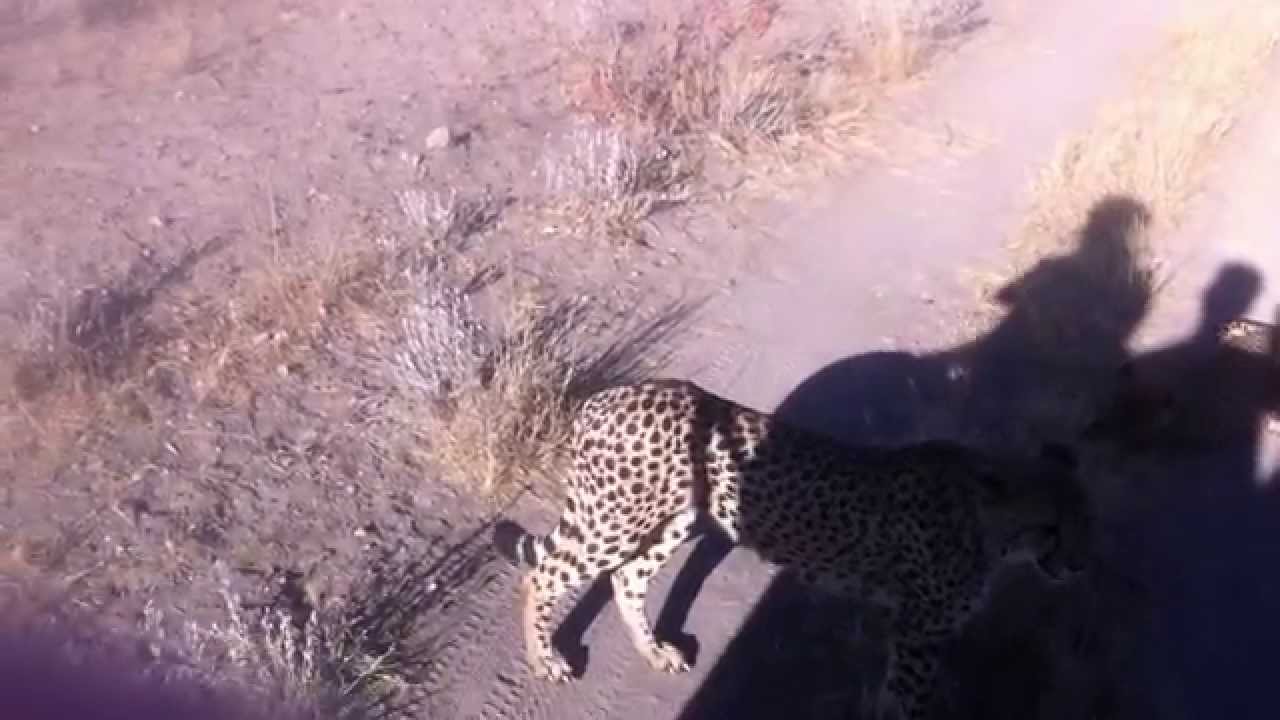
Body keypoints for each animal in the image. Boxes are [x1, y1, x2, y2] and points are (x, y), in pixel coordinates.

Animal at [492, 378, 1092, 719]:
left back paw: (655, 651)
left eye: (1086, 516)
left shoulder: (910, 632)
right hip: (615, 519)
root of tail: (603, 398)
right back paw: (545, 660)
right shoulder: (920, 632)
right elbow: (907, 699)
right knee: (545, 574)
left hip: (670, 520)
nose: (1077, 566)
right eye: (1052, 528)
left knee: (626, 577)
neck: (983, 519)